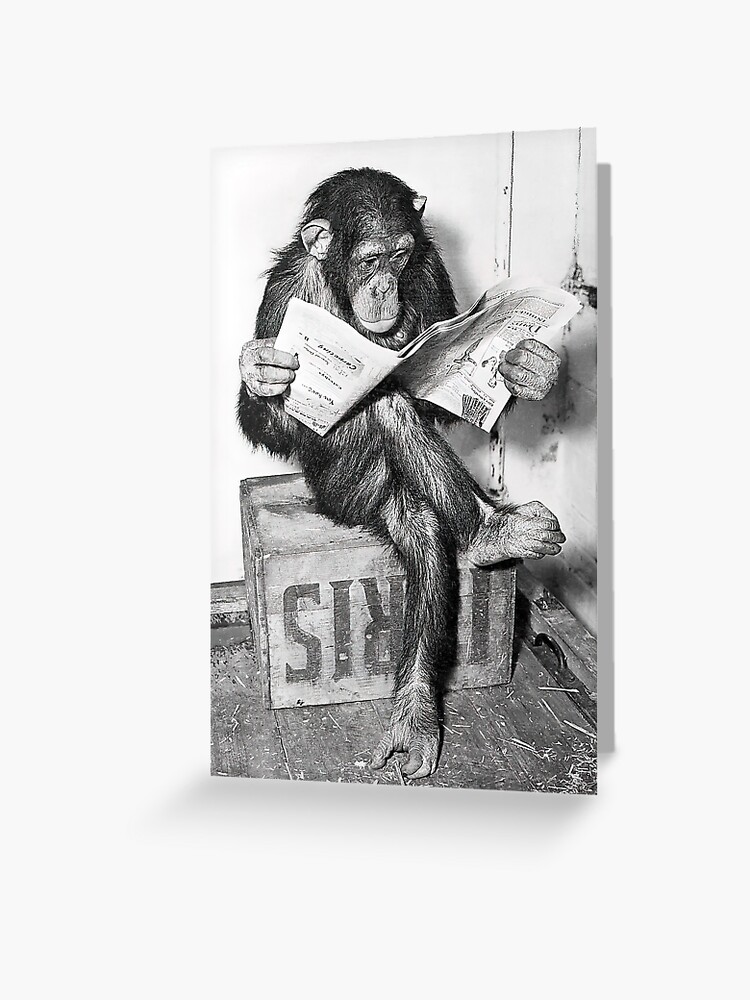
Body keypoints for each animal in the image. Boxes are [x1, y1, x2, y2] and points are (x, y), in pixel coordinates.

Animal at [237, 168, 565, 780]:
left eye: (400, 256)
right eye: (370, 259)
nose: (386, 285)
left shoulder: (432, 270)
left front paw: (528, 367)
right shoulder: (285, 293)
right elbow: (273, 420)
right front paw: (261, 370)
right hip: (349, 492)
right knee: (389, 417)